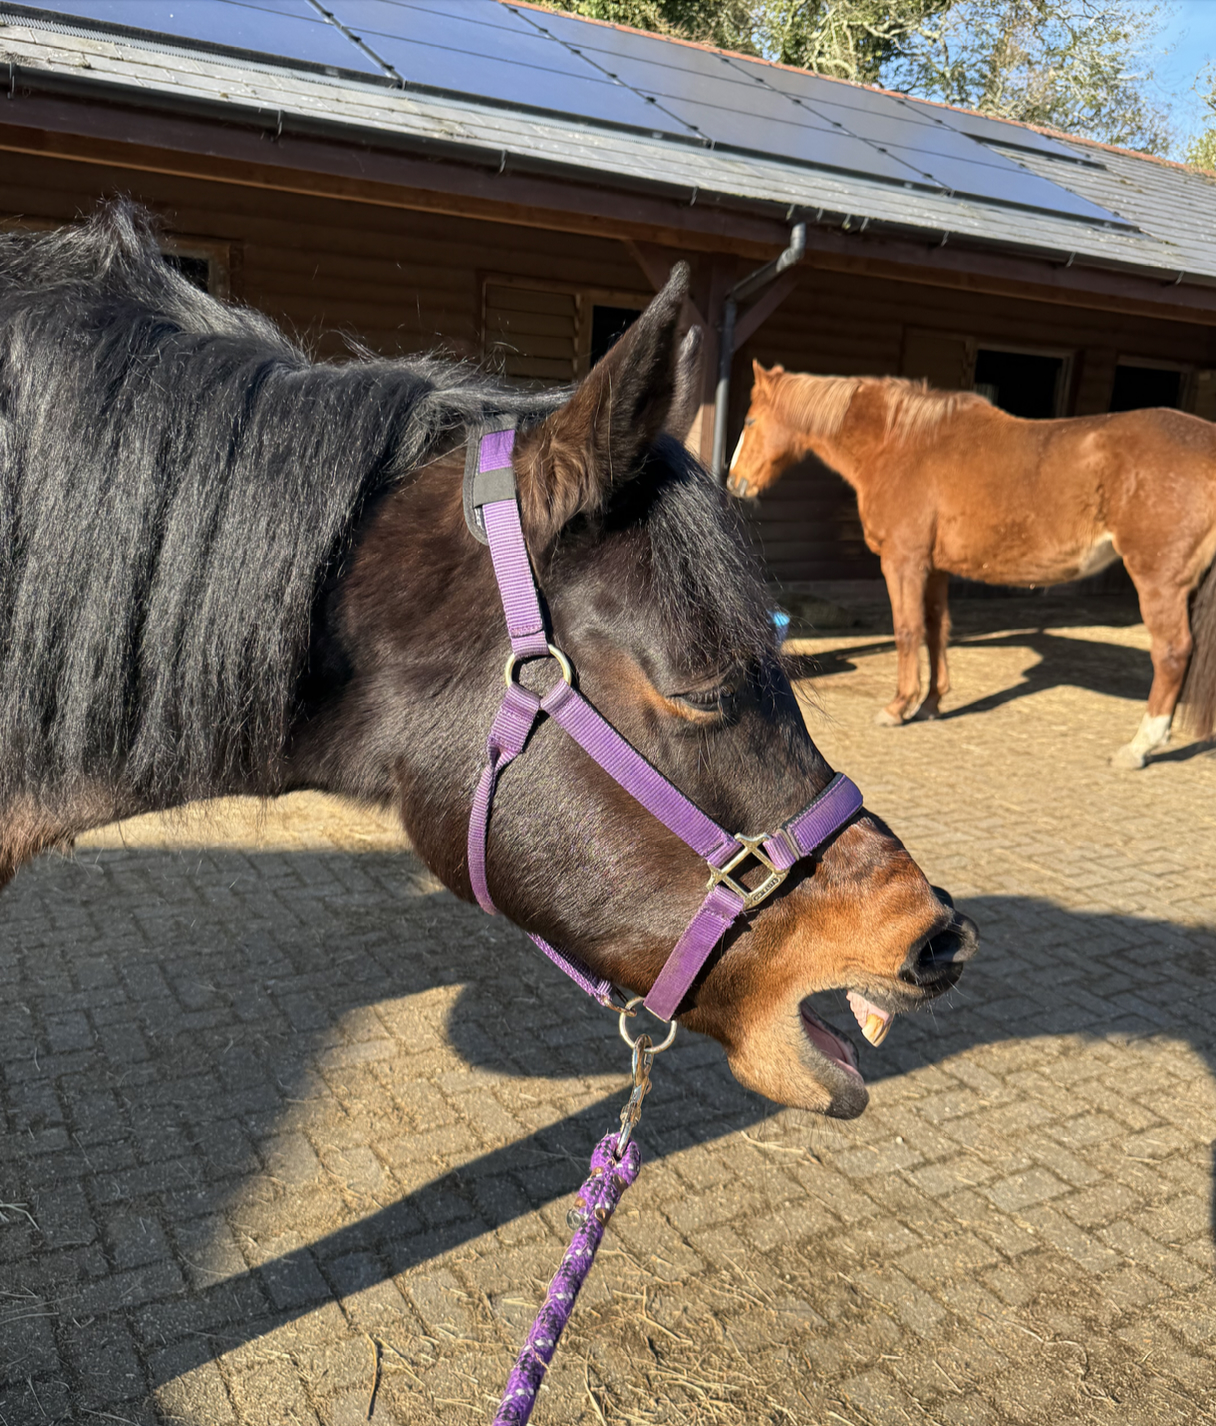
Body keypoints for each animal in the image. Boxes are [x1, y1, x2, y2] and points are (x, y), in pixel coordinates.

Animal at [729, 361, 1216, 769]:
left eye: (750, 420)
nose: (735, 482)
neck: (902, 443)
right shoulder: (935, 568)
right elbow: (936, 629)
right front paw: (931, 704)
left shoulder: (903, 562)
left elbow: (907, 630)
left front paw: (898, 707)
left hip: (1158, 582)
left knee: (1172, 652)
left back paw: (1139, 747)